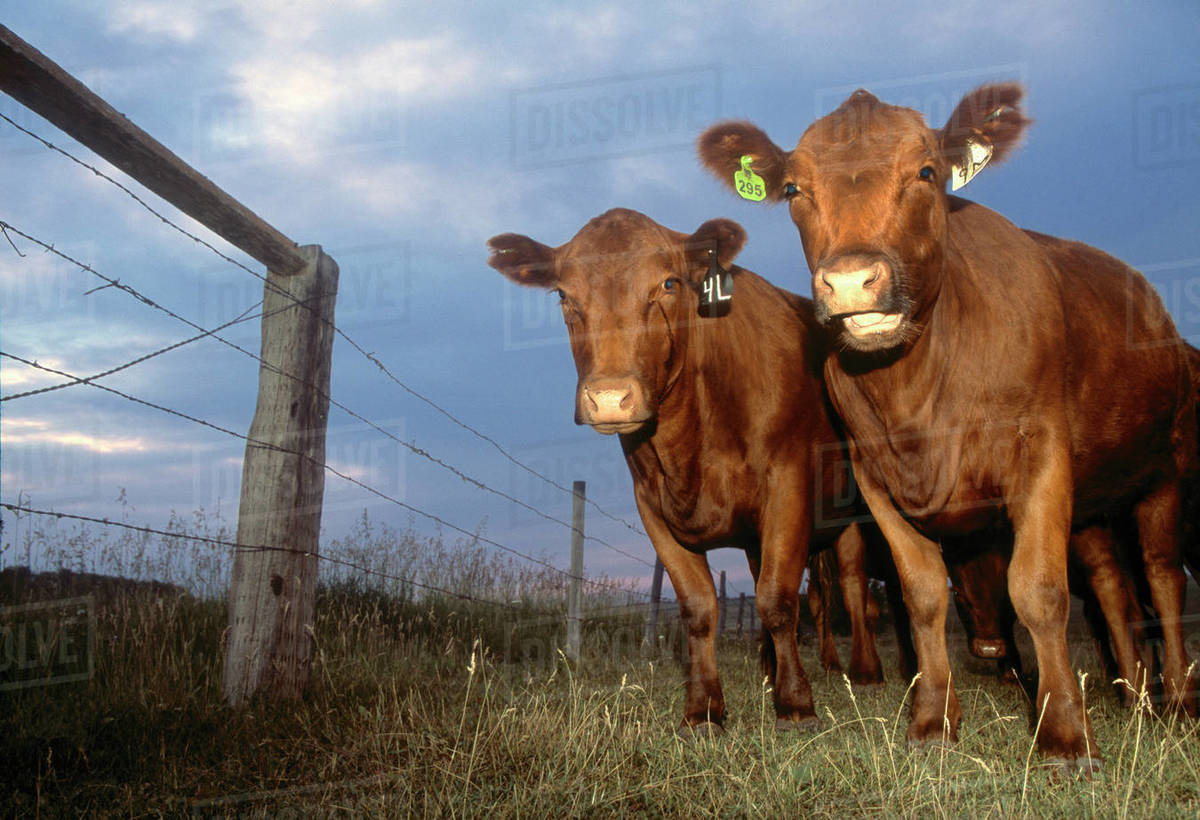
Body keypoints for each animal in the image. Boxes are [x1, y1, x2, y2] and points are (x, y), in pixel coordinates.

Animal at [487, 209, 887, 735]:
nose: (610, 398)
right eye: (563, 295)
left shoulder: (788, 485)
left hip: (854, 509)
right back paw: (767, 668)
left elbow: (779, 599)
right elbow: (699, 608)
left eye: (668, 282)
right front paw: (703, 709)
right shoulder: (653, 507)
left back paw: (864, 670)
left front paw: (796, 703)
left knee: (854, 586)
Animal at [698, 83, 1197, 770]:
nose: (850, 281)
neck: (917, 398)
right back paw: (1134, 694)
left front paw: (1066, 736)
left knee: (1162, 576)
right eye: (795, 189)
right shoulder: (875, 478)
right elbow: (924, 594)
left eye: (927, 173)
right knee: (1112, 587)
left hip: (1164, 470)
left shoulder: (1042, 452)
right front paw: (933, 721)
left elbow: (1038, 590)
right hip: (1097, 497)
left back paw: (1177, 699)